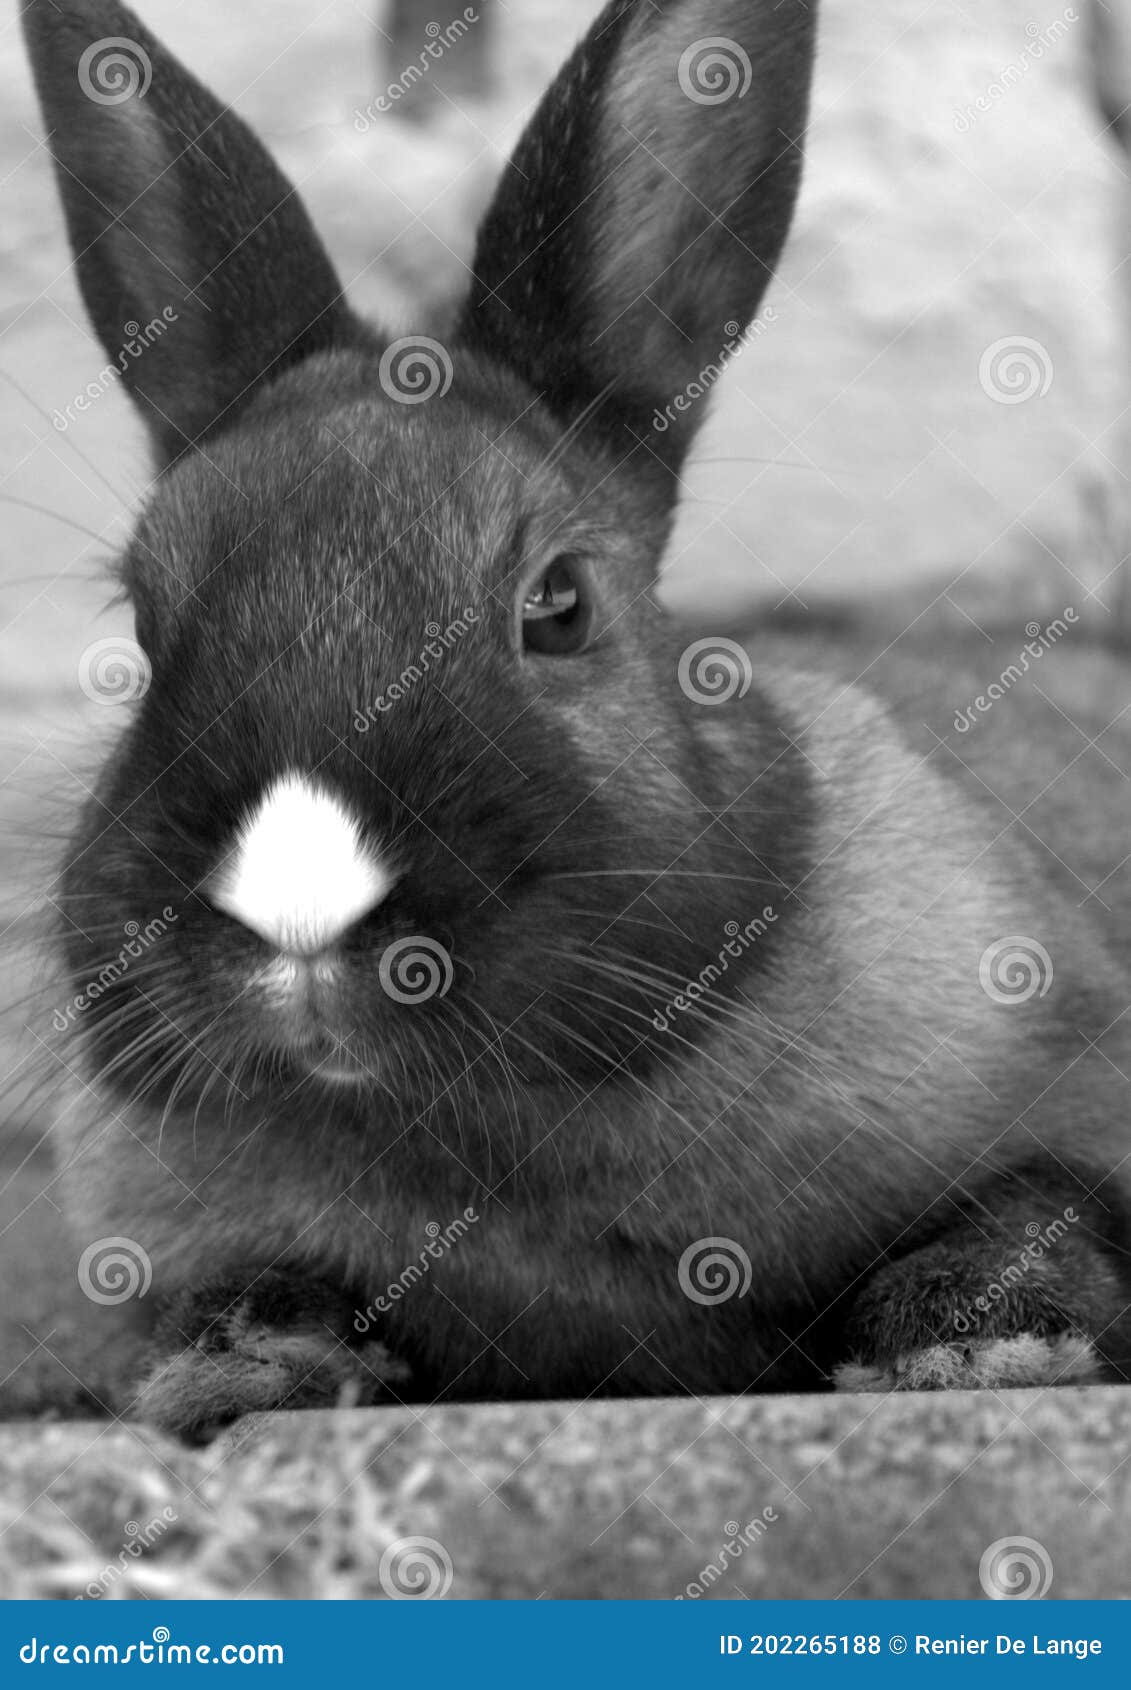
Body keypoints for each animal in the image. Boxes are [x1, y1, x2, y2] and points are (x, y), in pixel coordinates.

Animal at [22, 0, 1131, 1443]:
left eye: (557, 604)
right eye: (144, 628)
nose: (297, 909)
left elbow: (1038, 1199)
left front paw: (971, 1343)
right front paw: (248, 1361)